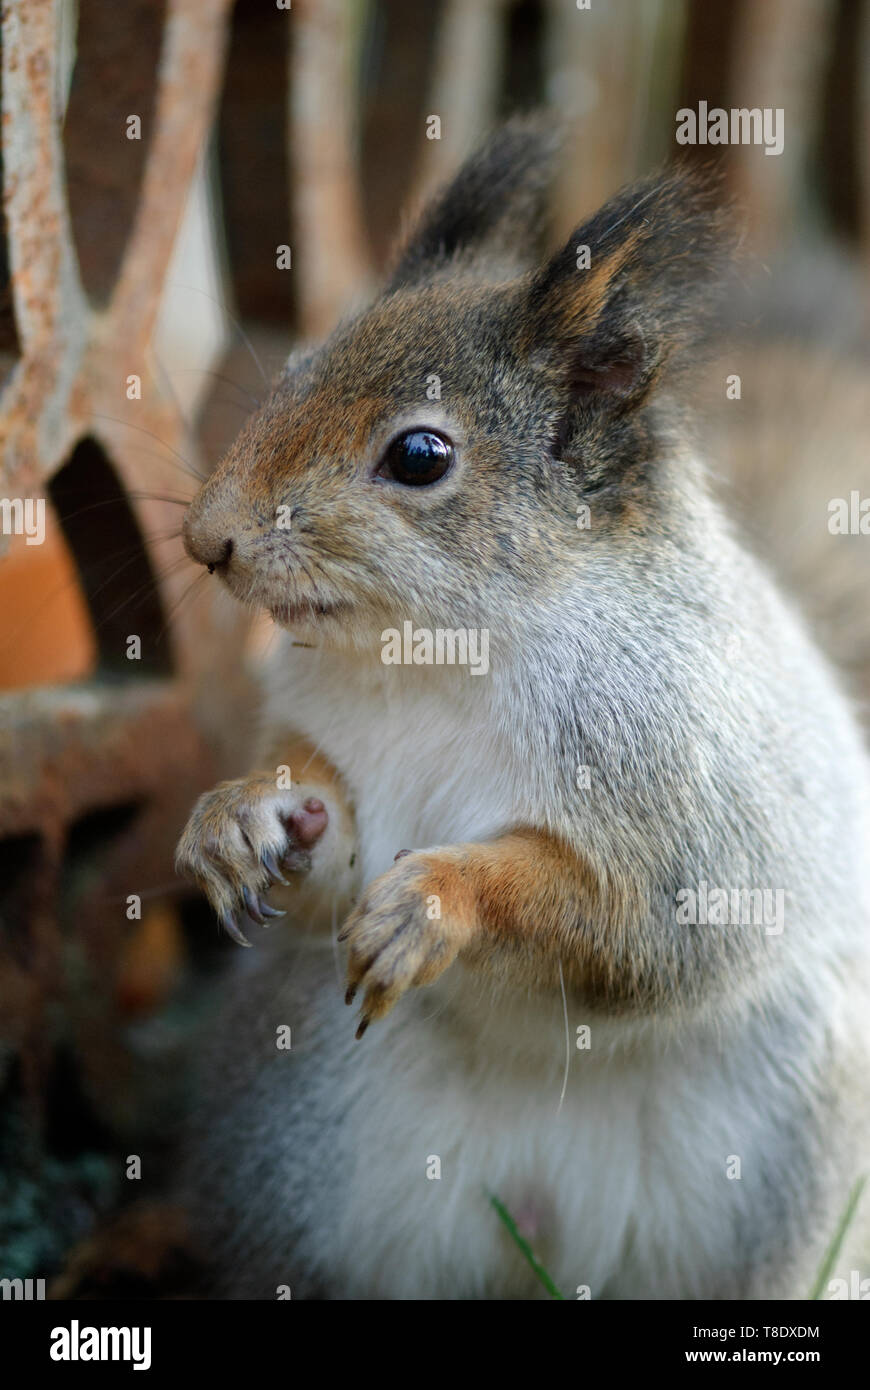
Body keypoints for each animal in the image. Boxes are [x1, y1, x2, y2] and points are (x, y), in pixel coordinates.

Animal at [175, 119, 870, 1300]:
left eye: (420, 456)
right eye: (299, 367)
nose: (206, 539)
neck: (439, 655)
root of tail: (543, 1231)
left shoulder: (689, 793)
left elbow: (629, 920)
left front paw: (436, 902)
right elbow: (326, 826)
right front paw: (240, 815)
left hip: (784, 1161)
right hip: (301, 1152)